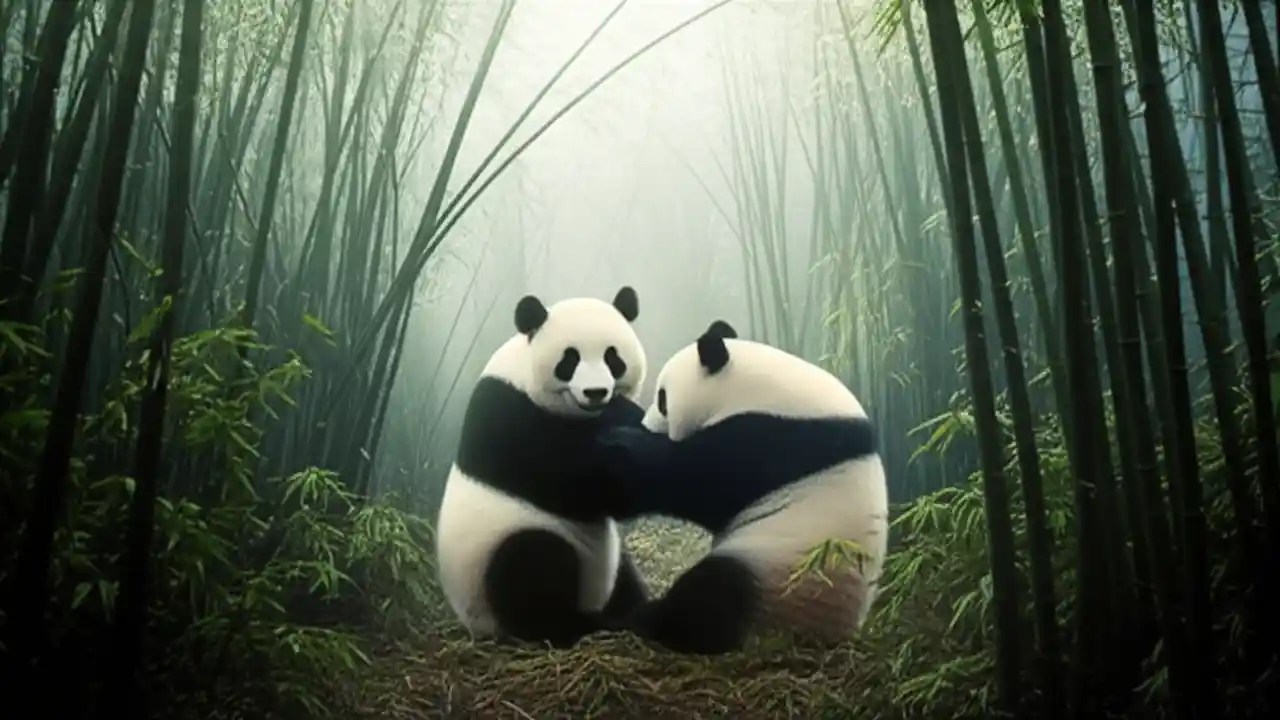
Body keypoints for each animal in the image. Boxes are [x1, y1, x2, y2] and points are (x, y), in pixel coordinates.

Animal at [434, 286, 651, 648]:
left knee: (626, 577)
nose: (596, 392)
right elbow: (575, 485)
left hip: (610, 567)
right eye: (570, 360)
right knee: (531, 569)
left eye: (612, 357)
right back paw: (577, 625)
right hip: (492, 557)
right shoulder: (508, 416)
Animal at [596, 319, 889, 654]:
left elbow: (686, 479)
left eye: (662, 399)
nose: (649, 424)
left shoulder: (765, 440)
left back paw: (643, 620)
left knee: (712, 595)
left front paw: (619, 445)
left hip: (777, 573)